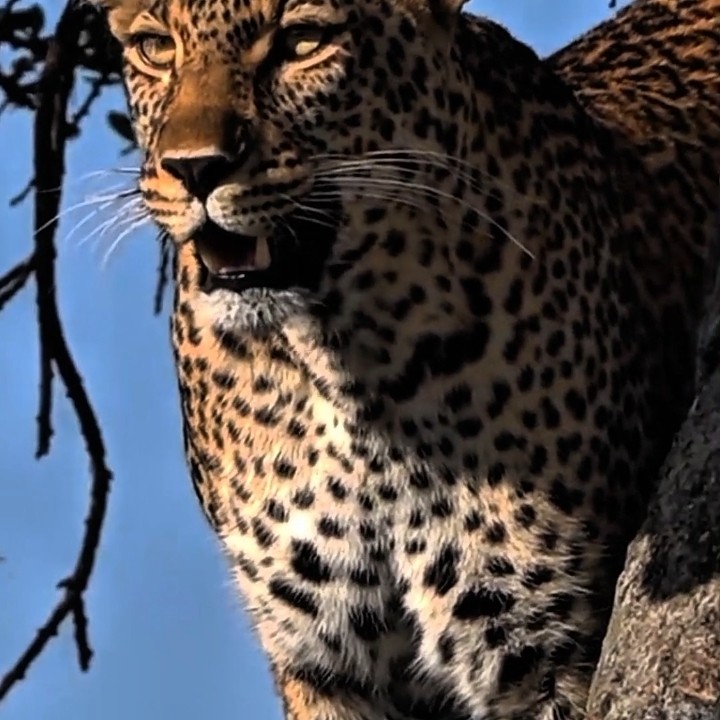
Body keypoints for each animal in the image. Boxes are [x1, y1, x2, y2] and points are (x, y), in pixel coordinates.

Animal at [91, 0, 720, 718]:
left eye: (303, 42)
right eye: (155, 47)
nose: (194, 168)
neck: (343, 370)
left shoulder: (549, 649)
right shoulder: (322, 663)